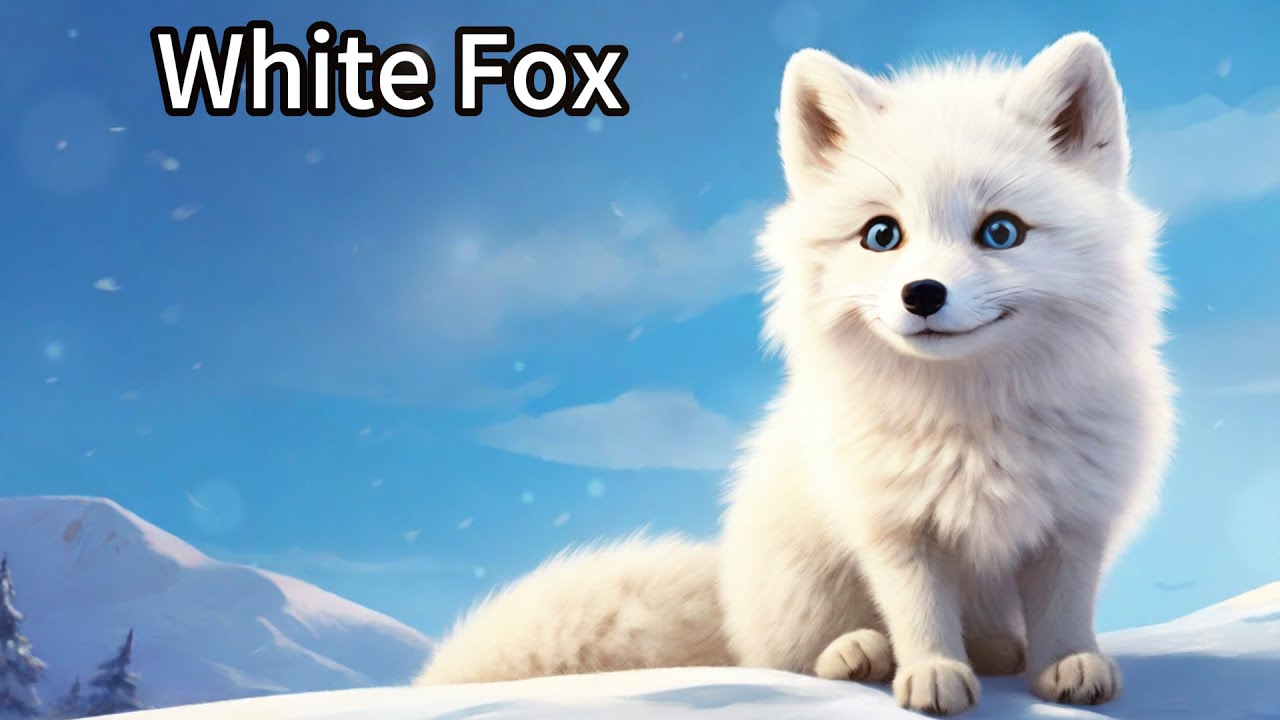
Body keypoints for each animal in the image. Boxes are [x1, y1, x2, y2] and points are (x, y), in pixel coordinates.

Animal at [415, 32, 1175, 716]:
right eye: (881, 235)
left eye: (1001, 232)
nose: (922, 295)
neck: (973, 417)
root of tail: (727, 595)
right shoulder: (894, 528)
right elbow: (920, 612)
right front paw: (932, 673)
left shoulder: (1074, 523)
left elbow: (1064, 612)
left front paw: (1068, 666)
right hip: (805, 584)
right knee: (788, 658)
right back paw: (860, 654)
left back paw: (994, 653)